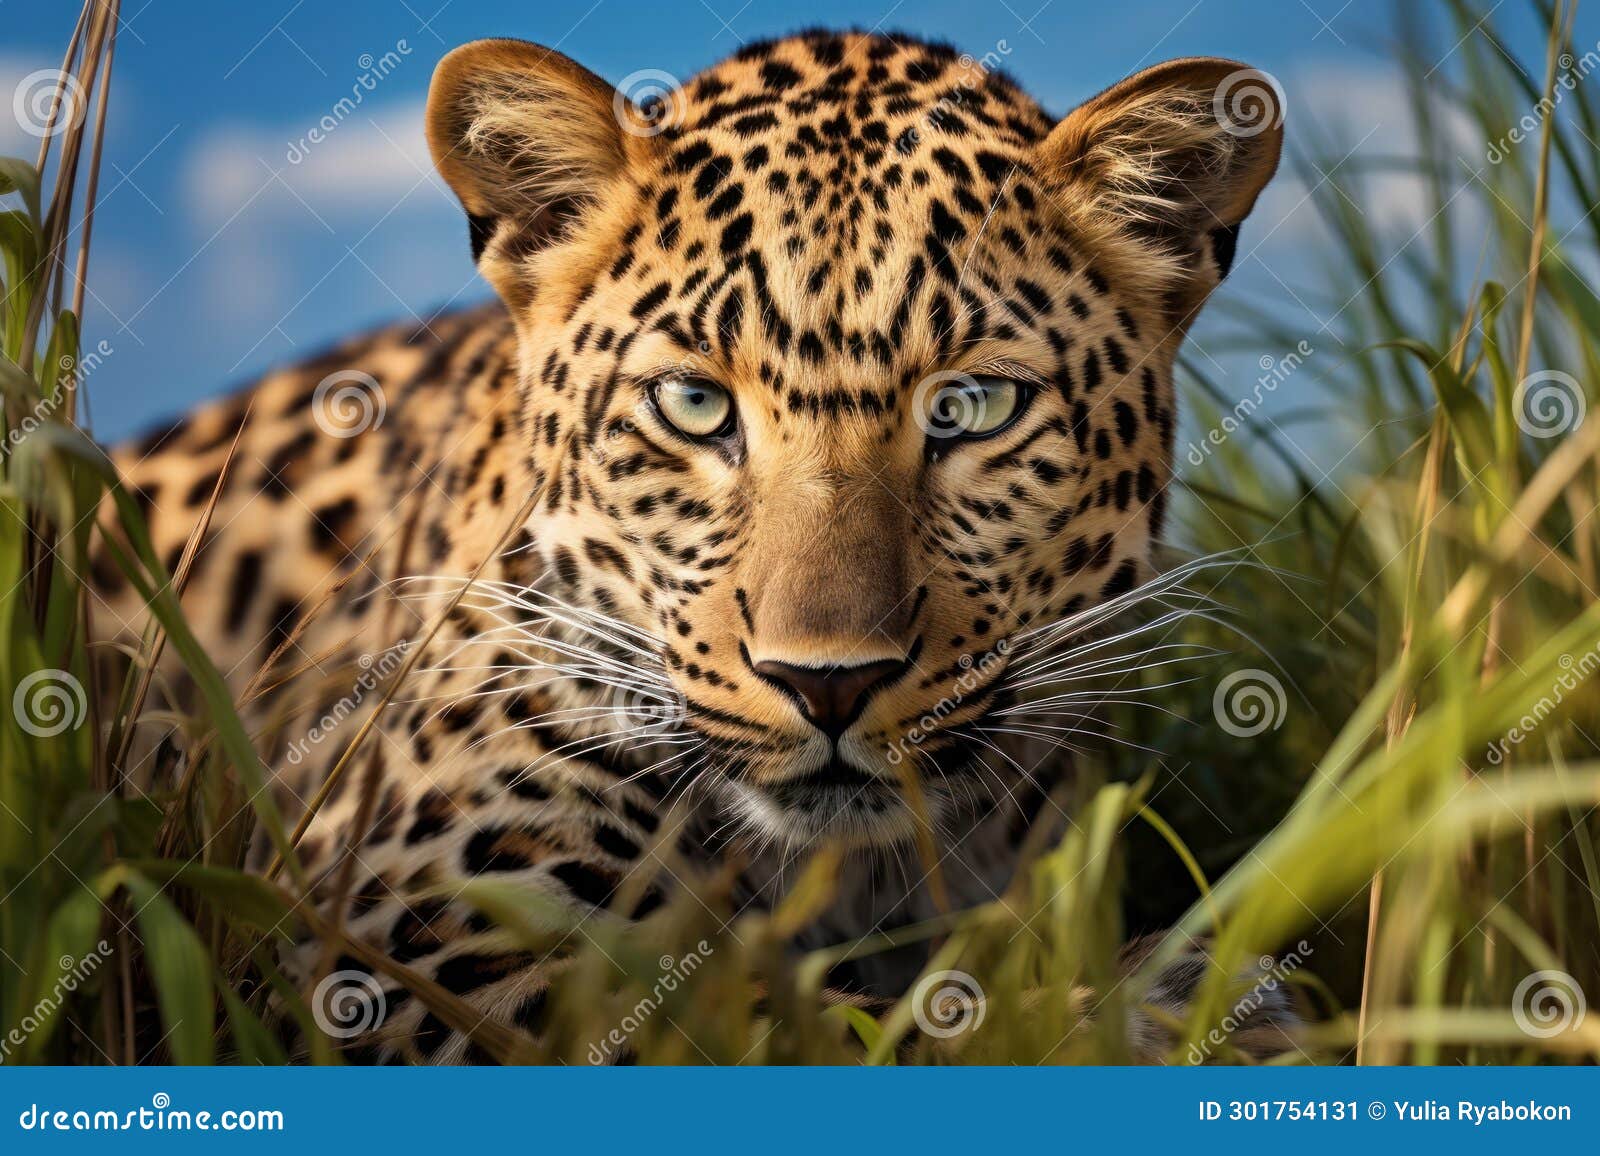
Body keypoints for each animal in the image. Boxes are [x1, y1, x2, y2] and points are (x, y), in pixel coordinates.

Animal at [89, 29, 1289, 1064]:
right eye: (694, 405)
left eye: (971, 407)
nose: (829, 683)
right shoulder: (418, 931)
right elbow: (793, 1028)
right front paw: (1167, 1003)